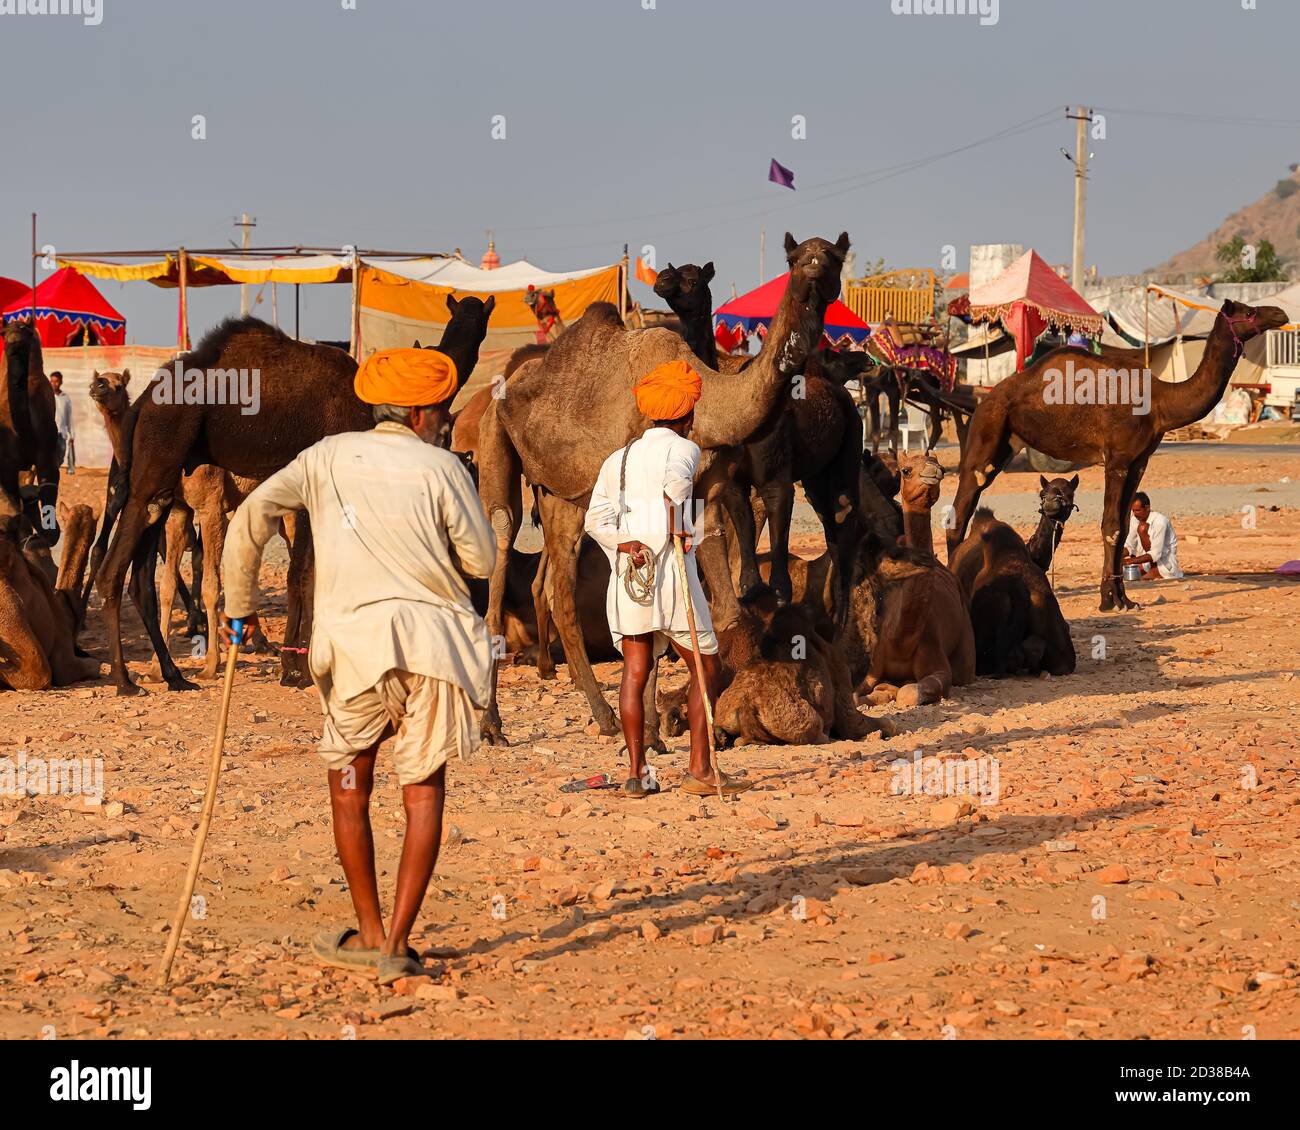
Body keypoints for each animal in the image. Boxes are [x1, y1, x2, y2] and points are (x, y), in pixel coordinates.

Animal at [1, 320, 62, 545]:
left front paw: (47, 534)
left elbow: (47, 488)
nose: (14, 343)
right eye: (3, 334)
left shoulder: (47, 457)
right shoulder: (7, 465)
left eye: (26, 334)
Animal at [94, 296, 494, 694]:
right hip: (156, 468)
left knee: (142, 579)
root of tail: (141, 404)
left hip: (163, 489)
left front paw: (301, 663)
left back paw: (173, 675)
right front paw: (296, 669)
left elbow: (310, 570)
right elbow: (303, 571)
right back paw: (126, 681)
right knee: (112, 572)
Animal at [475, 232, 853, 743]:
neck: (712, 403)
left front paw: (661, 729)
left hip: (558, 494)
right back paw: (495, 723)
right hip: (497, 444)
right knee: (502, 540)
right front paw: (655, 729)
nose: (813, 267)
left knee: (557, 589)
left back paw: (603, 715)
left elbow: (722, 609)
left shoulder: (706, 492)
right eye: (795, 259)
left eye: (832, 256)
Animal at [946, 298, 1287, 610]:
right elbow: (1110, 526)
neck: (1160, 402)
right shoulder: (1117, 459)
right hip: (986, 431)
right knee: (960, 509)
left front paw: (1124, 598)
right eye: (1249, 310)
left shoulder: (1139, 461)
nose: (1280, 313)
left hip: (1008, 442)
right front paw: (1110, 601)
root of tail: (986, 398)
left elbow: (1124, 528)